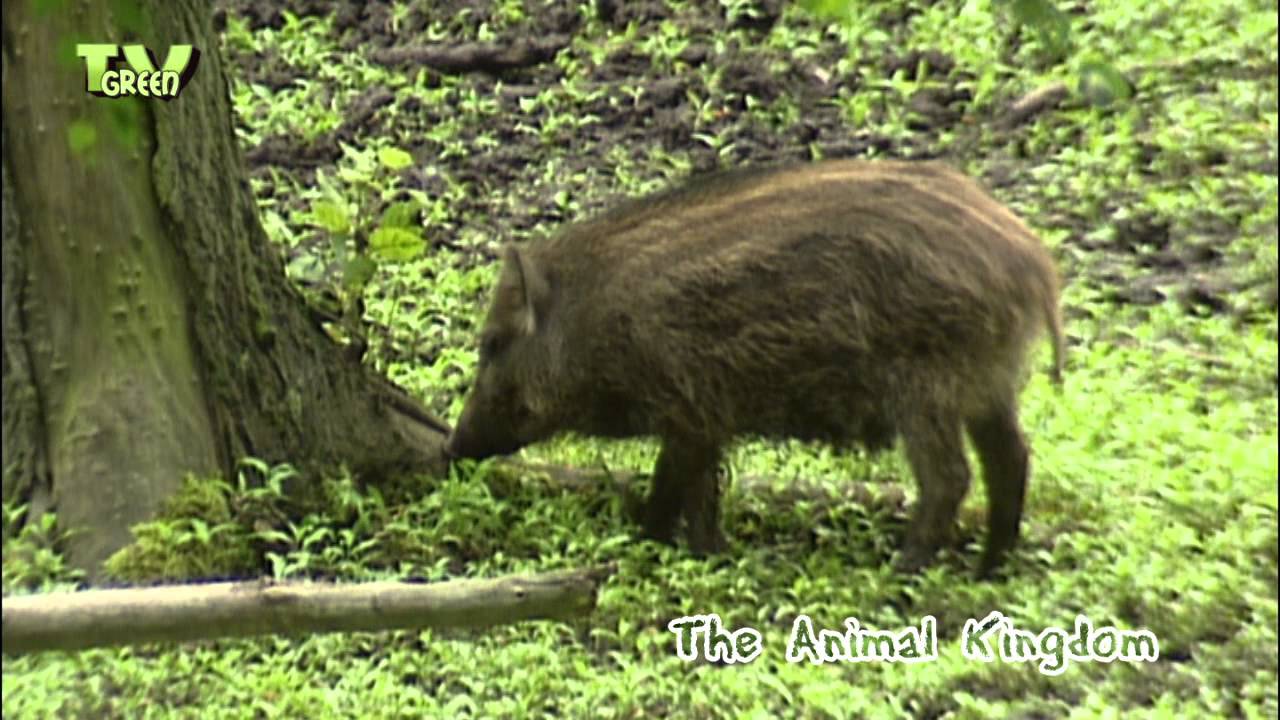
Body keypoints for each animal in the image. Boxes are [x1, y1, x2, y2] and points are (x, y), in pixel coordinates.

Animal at [445, 159, 1064, 577]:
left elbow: (678, 485)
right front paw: (688, 549)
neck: (594, 320)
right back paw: (990, 566)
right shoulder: (701, 418)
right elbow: (692, 488)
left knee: (950, 478)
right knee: (1013, 459)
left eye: (492, 343)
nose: (453, 447)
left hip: (926, 388)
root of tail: (1033, 264)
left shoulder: (690, 407)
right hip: (988, 384)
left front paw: (666, 545)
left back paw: (903, 568)